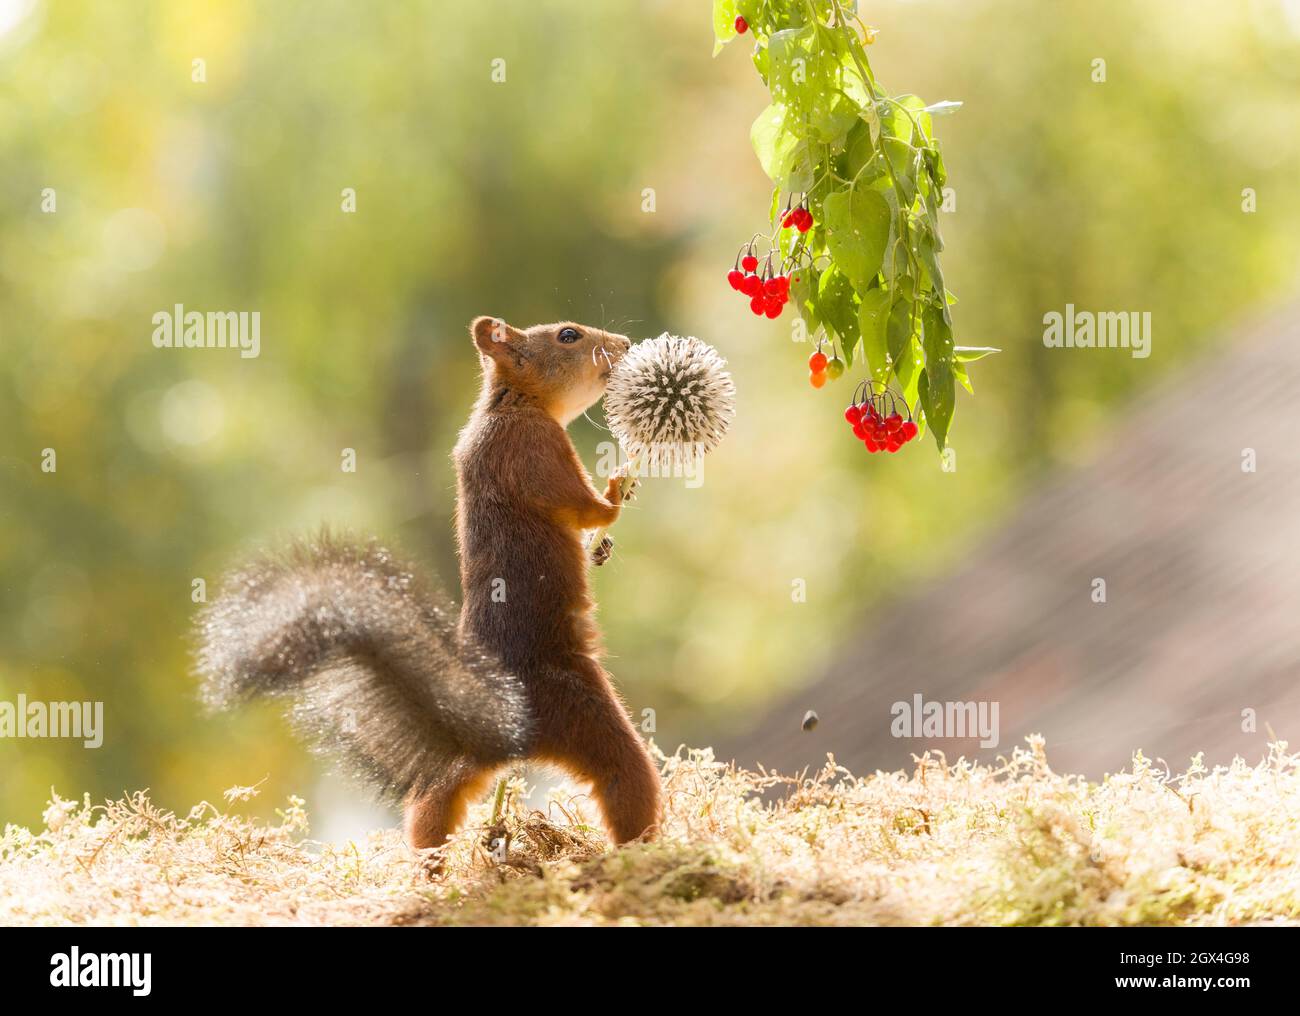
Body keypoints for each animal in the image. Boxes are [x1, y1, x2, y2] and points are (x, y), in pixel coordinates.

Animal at [196, 316, 663, 857]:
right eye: (568, 335)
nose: (624, 345)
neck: (512, 404)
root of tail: (496, 717)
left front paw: (600, 550)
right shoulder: (534, 450)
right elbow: (583, 507)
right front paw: (616, 490)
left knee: (431, 799)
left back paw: (428, 862)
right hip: (580, 713)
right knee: (624, 774)